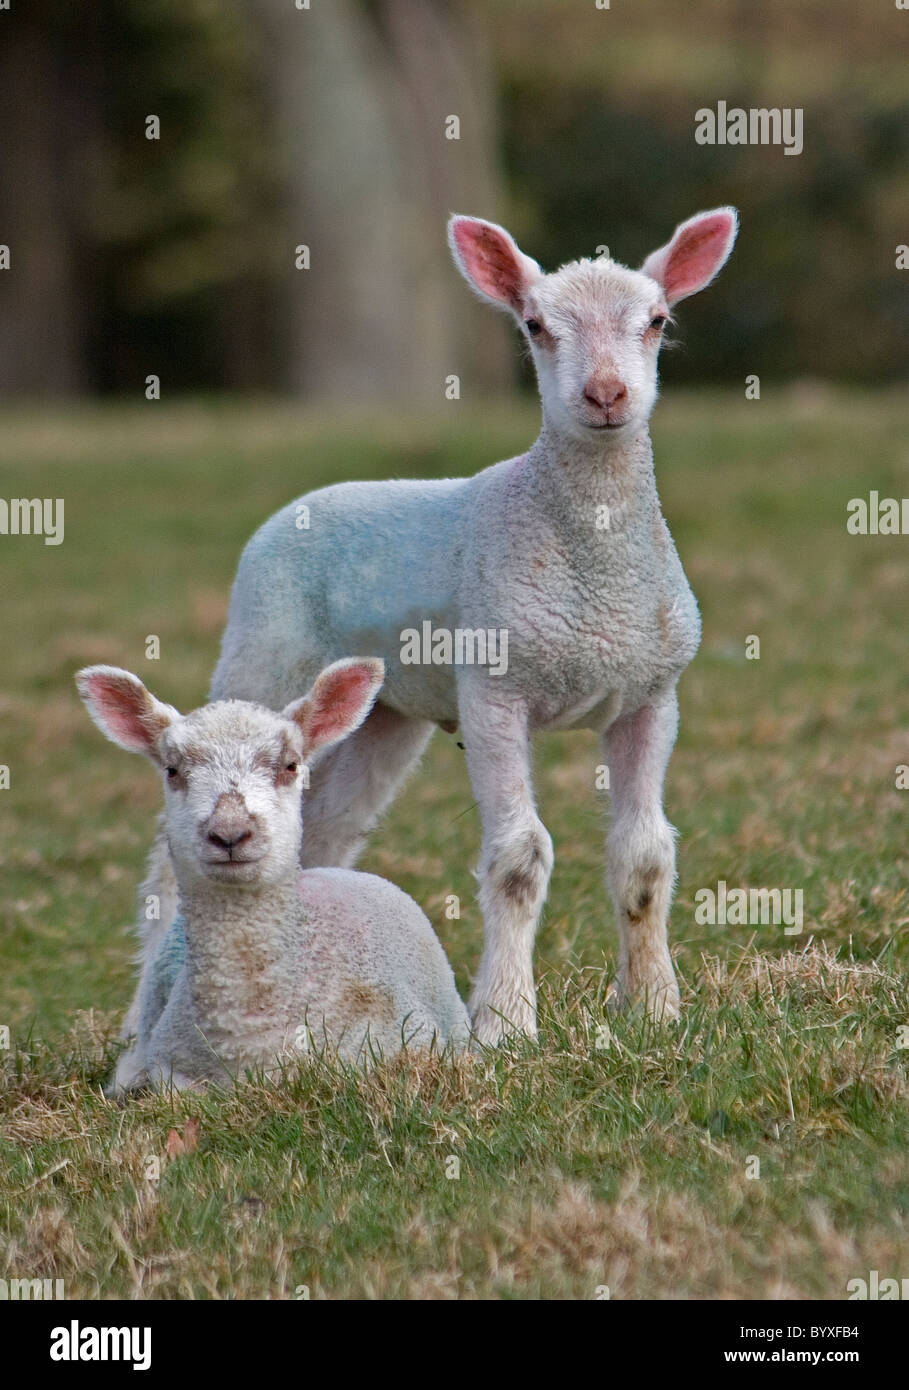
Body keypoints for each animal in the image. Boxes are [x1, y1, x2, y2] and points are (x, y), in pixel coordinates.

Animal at [132, 207, 738, 1046]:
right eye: (534, 325)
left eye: (656, 322)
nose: (606, 393)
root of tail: (309, 499)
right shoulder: (493, 689)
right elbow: (518, 858)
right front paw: (505, 1024)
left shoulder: (651, 691)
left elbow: (644, 853)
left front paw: (653, 1007)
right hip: (265, 649)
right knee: (172, 851)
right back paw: (143, 1016)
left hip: (383, 713)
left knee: (326, 833)